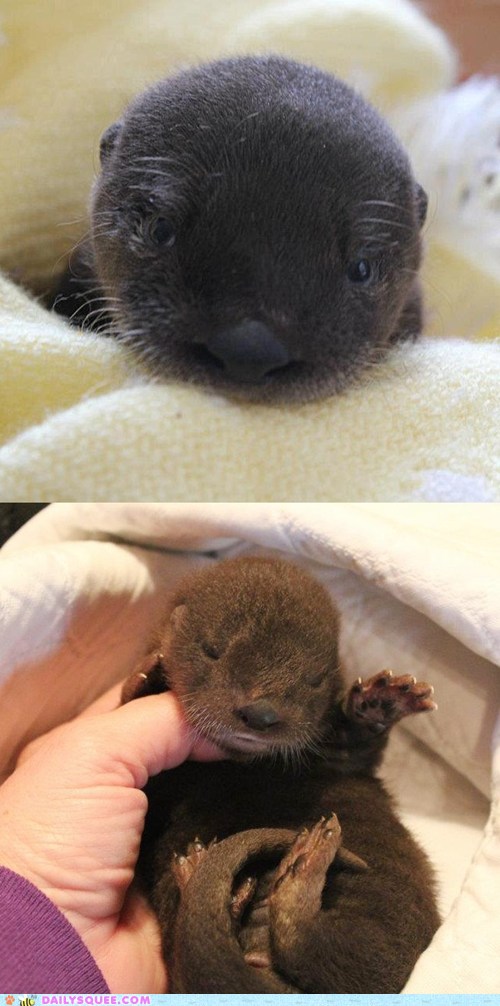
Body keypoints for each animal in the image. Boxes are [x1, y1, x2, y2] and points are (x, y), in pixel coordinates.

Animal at [122, 555, 439, 992]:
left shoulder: (336, 754)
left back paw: (295, 867)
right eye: (212, 650)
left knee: (307, 944)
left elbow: (357, 749)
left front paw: (382, 701)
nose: (261, 713)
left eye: (314, 679)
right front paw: (146, 679)